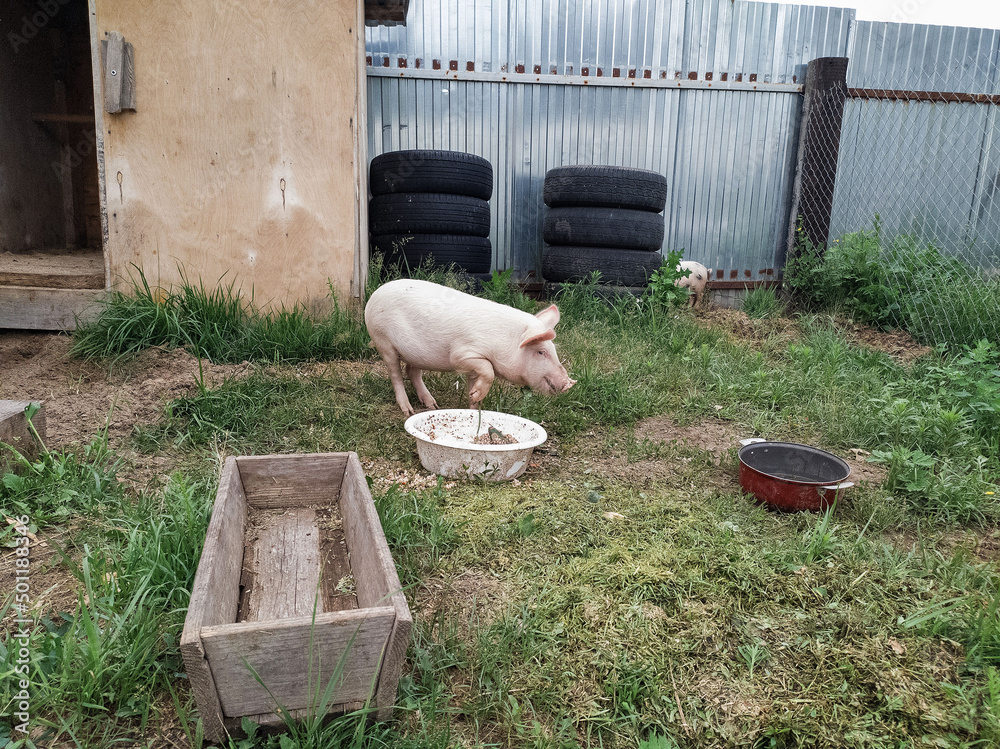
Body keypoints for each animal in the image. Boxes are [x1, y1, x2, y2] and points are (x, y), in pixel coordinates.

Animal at [365, 279, 576, 416]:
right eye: (541, 351)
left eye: (554, 351)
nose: (569, 383)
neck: (504, 340)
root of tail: (374, 294)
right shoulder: (462, 354)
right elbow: (488, 370)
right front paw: (475, 396)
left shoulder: (473, 369)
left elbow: (477, 381)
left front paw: (474, 403)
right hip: (383, 341)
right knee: (395, 374)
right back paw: (407, 410)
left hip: (416, 354)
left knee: (412, 371)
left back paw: (433, 405)